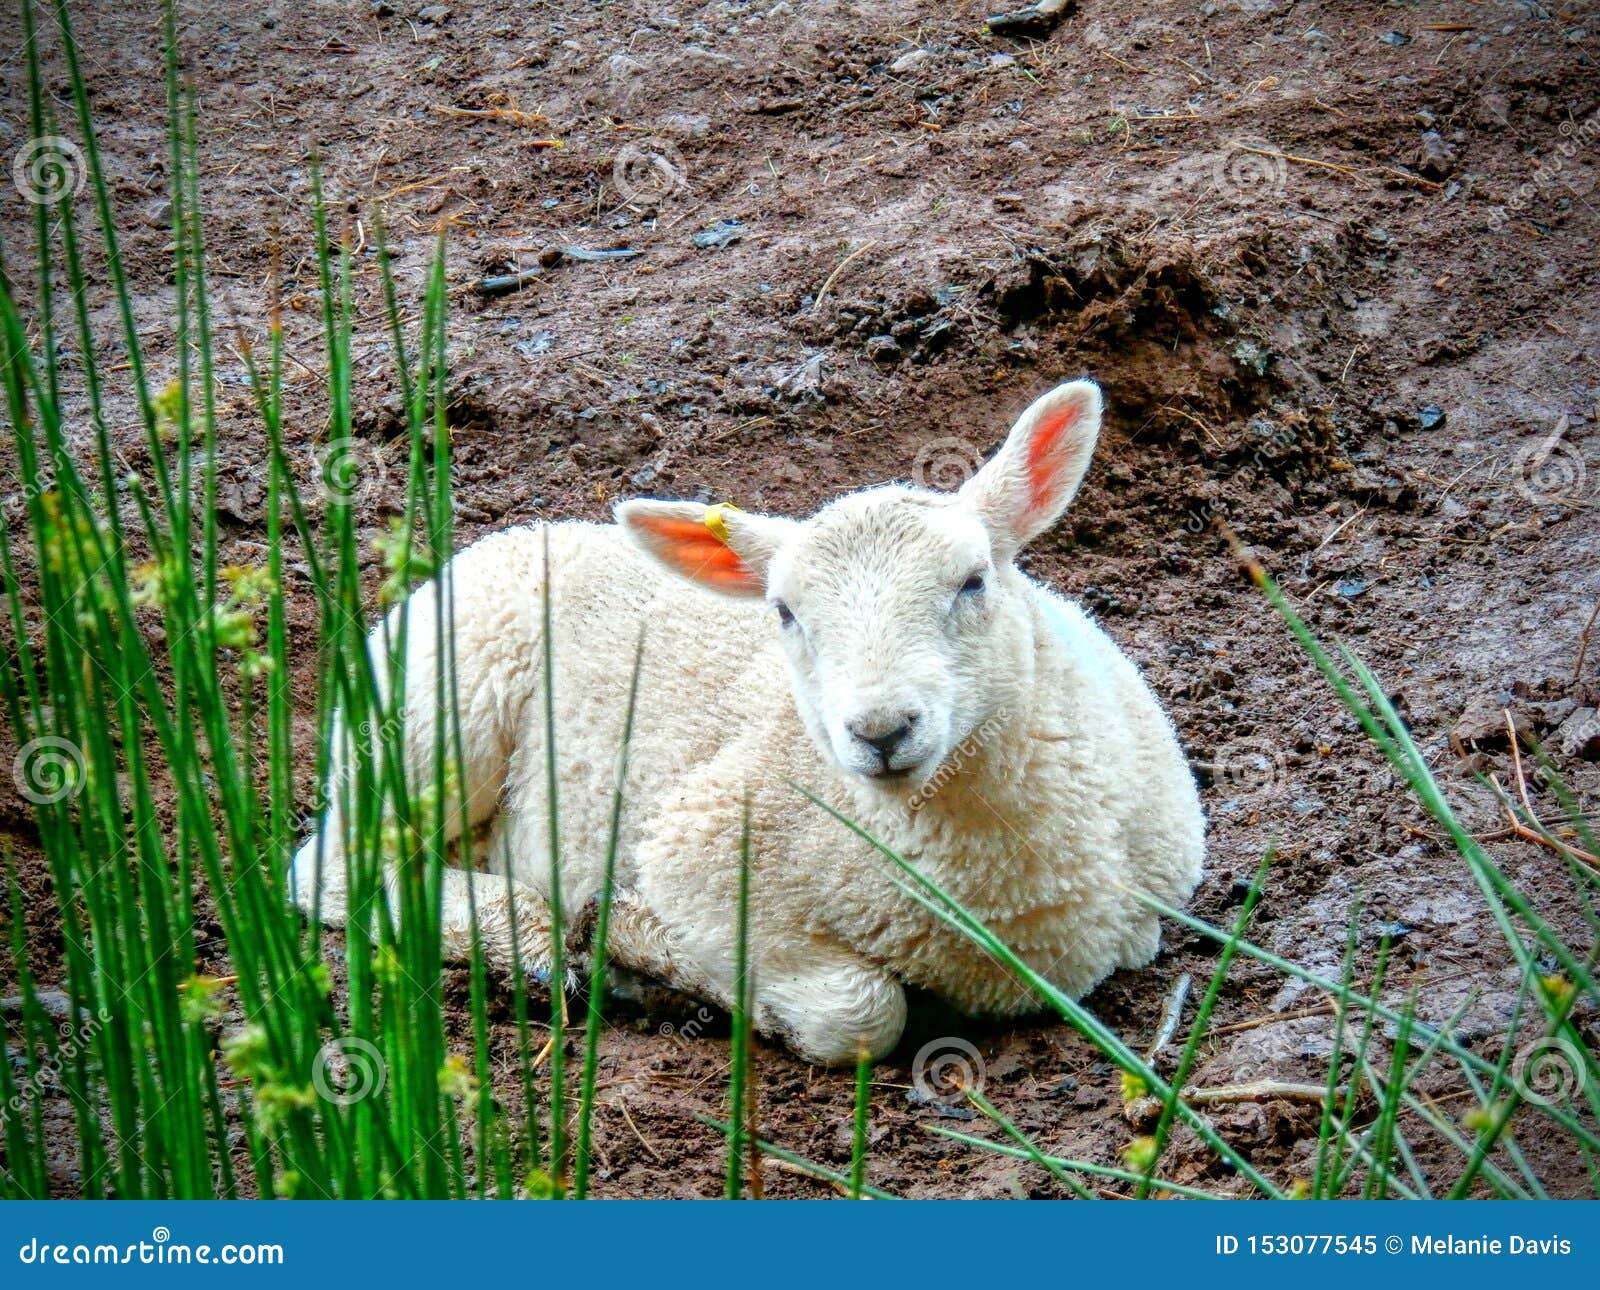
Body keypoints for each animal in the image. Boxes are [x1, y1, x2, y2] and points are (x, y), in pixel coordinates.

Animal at [291, 379, 1205, 1066]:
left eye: (974, 581)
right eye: (786, 613)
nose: (880, 731)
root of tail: (515, 534)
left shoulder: (1149, 910)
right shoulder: (695, 848)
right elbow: (859, 1012)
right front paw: (653, 957)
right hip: (433, 710)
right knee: (331, 868)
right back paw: (535, 937)